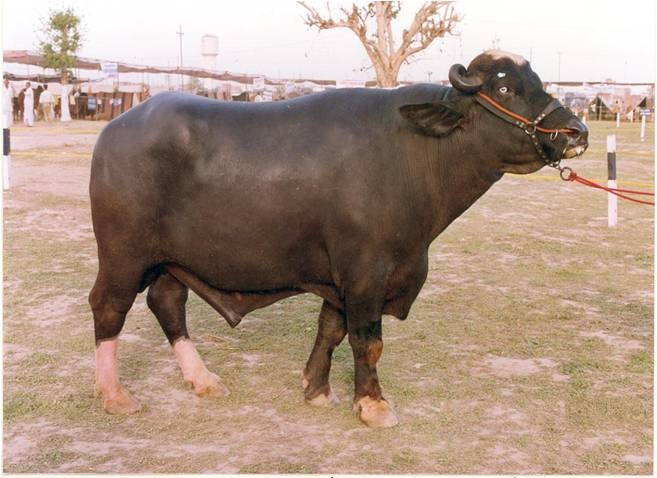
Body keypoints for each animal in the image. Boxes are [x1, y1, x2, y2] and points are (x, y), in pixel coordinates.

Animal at [89, 50, 588, 427]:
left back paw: (203, 379)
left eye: (538, 81)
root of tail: (117, 127)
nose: (576, 132)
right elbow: (368, 340)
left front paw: (315, 388)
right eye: (504, 89)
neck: (413, 154)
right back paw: (114, 394)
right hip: (122, 253)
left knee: (167, 302)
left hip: (172, 260)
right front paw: (372, 404)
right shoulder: (365, 272)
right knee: (108, 306)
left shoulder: (340, 277)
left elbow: (330, 328)